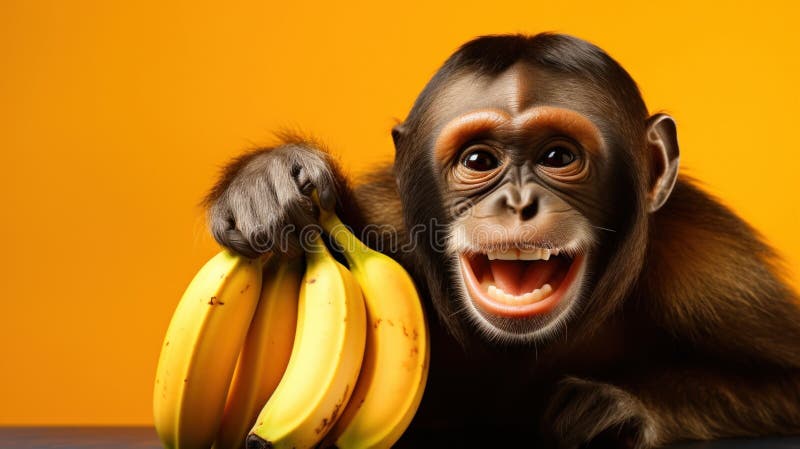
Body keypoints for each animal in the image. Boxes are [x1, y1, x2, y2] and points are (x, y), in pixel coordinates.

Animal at [205, 33, 800, 448]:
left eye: (559, 156)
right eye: (478, 161)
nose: (518, 203)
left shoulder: (713, 270)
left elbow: (785, 381)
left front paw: (622, 408)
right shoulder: (386, 223)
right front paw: (265, 179)